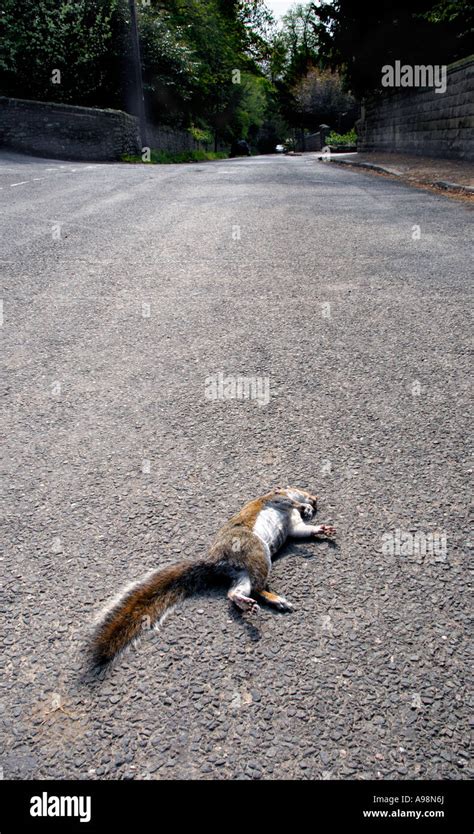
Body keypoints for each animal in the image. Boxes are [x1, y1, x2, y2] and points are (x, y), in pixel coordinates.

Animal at [90, 486, 336, 669]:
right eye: (299, 488)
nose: (315, 499)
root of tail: (216, 560)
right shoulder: (276, 499)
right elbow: (288, 502)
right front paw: (304, 506)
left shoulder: (294, 527)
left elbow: (302, 531)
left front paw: (321, 528)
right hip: (256, 551)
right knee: (257, 588)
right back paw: (275, 600)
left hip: (243, 574)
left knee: (234, 593)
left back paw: (245, 603)